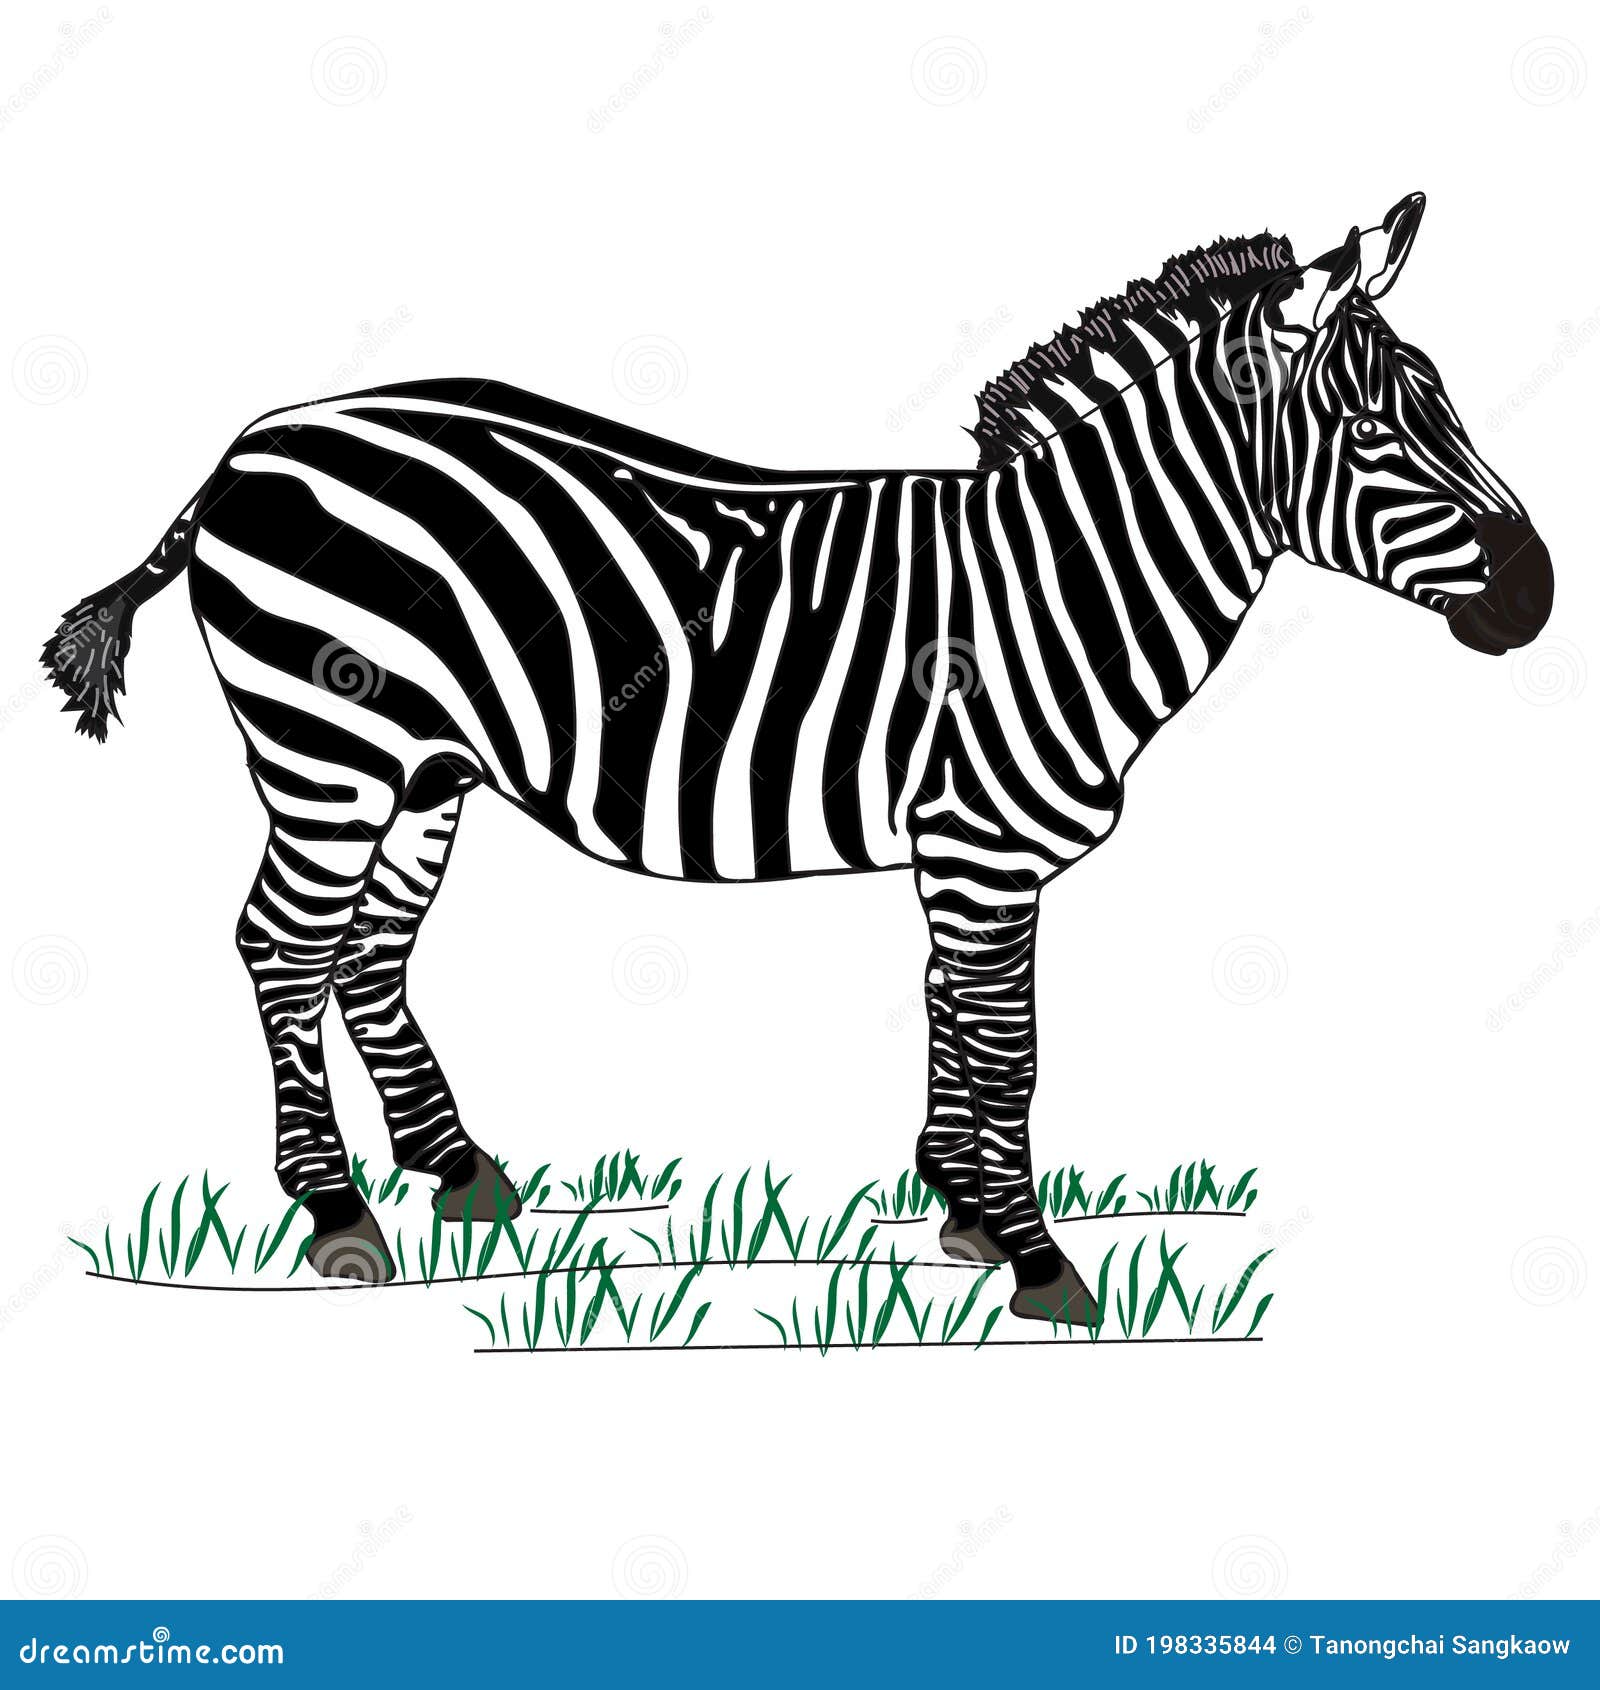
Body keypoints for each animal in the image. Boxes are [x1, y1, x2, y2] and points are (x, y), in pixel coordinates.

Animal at [43, 193, 1551, 1321]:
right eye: (1379, 429)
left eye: (1441, 406)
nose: (1538, 600)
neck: (1058, 584)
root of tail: (250, 445)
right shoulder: (984, 847)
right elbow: (1009, 1043)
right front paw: (1038, 1258)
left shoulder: (960, 852)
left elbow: (953, 1021)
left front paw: (962, 1213)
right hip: (330, 745)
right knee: (279, 946)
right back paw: (337, 1212)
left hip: (422, 768)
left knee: (364, 952)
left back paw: (457, 1171)